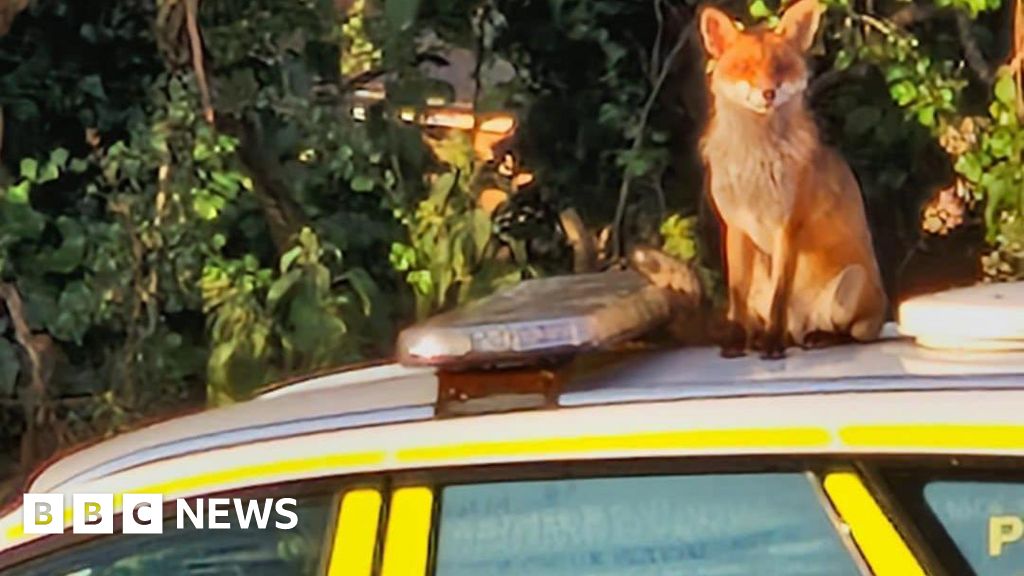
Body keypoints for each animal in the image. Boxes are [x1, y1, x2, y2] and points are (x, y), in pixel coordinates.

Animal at [697, 0, 887, 359]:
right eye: (745, 67)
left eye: (780, 66)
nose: (768, 92)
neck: (755, 162)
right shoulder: (736, 227)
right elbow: (736, 298)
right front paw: (737, 340)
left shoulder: (788, 226)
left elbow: (780, 297)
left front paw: (772, 345)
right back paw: (764, 338)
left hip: (851, 289)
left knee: (848, 334)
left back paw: (810, 338)